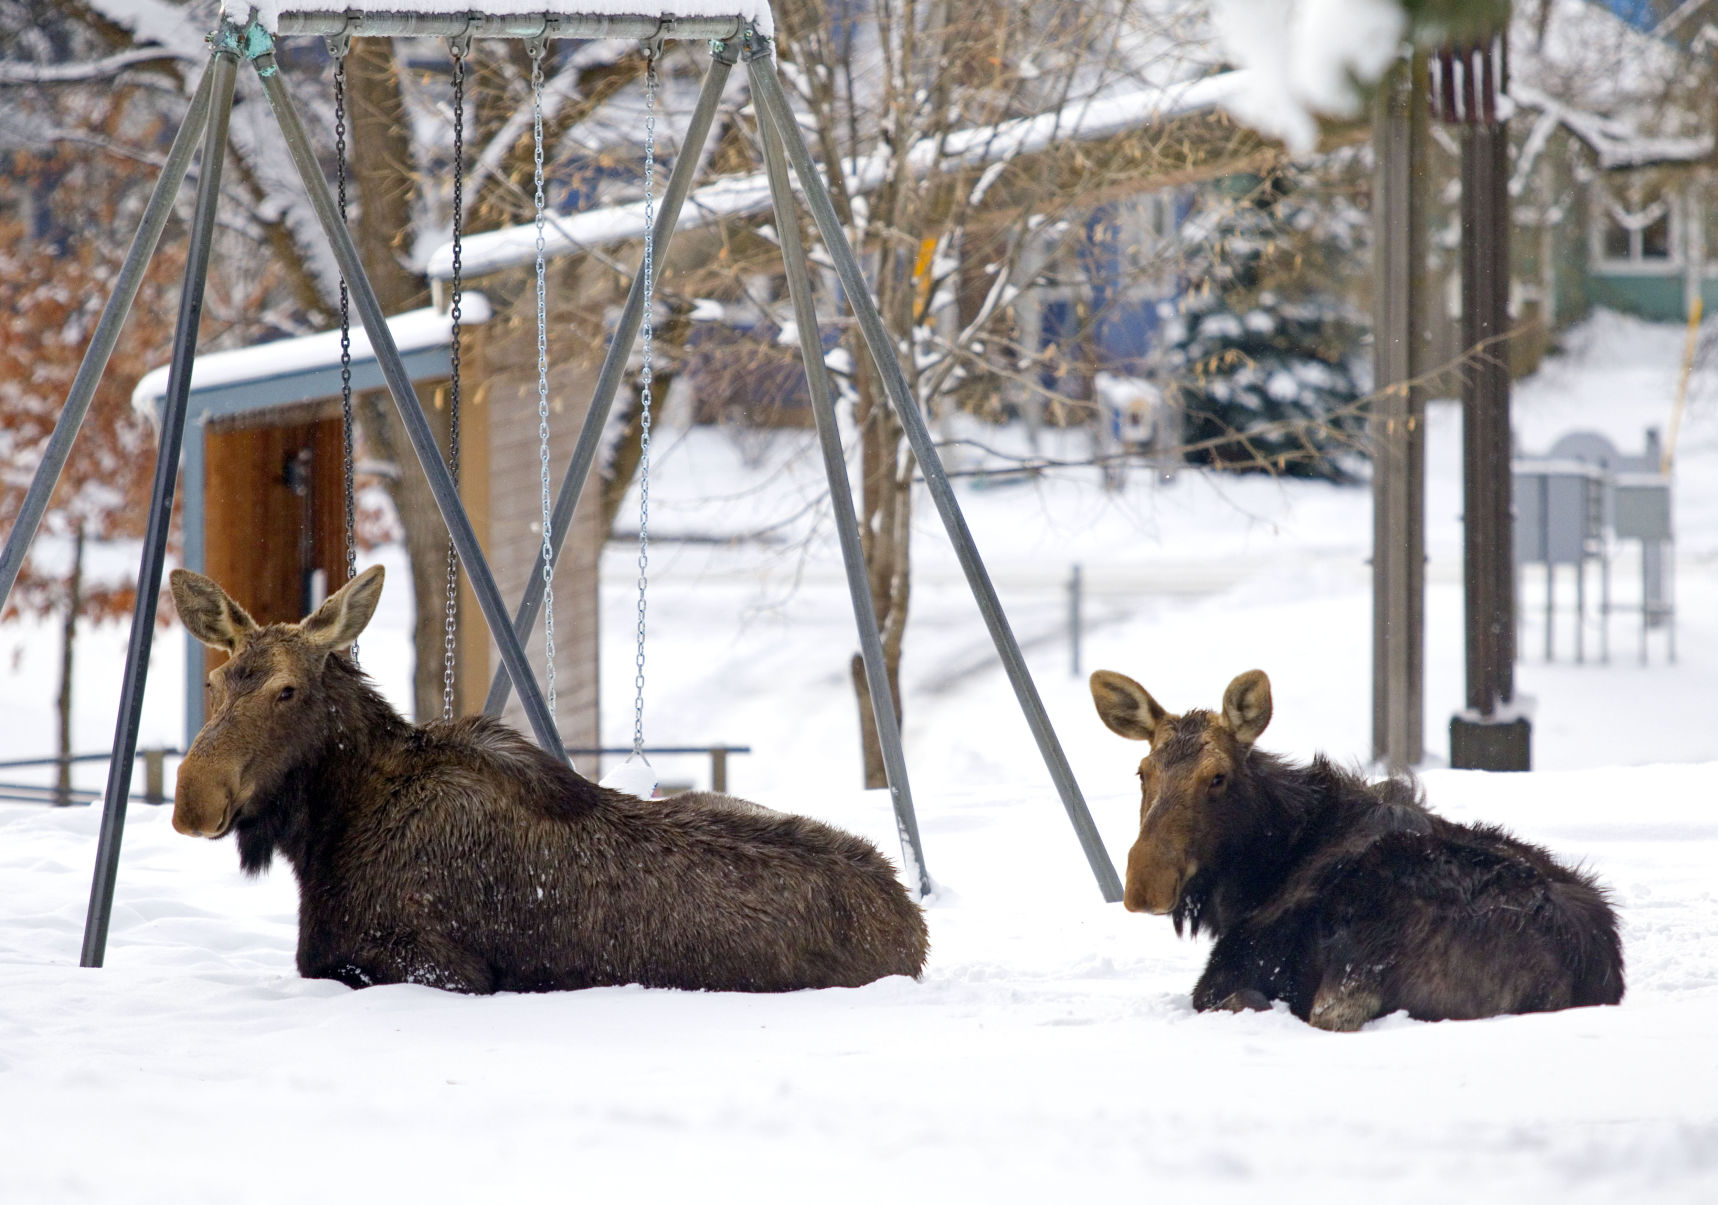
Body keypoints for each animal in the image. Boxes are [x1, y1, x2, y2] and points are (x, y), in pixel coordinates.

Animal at [168, 565, 928, 994]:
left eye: (288, 689)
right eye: (214, 681)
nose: (192, 799)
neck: (325, 834)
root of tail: (916, 927)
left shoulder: (439, 968)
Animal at [1090, 667, 1624, 1031]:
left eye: (1217, 777)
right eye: (1143, 772)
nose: (1145, 883)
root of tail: (1569, 972)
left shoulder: (1228, 972)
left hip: (1357, 958)